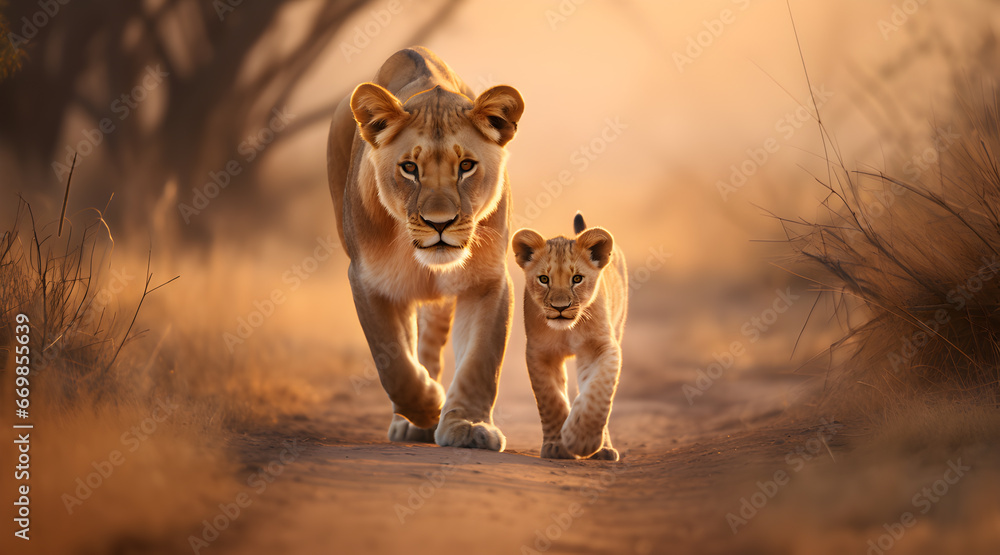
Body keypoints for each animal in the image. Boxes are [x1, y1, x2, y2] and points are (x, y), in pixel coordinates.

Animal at [326, 47, 524, 451]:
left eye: (466, 166)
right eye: (409, 168)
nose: (439, 223)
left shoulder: (487, 282)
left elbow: (481, 360)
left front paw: (468, 425)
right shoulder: (368, 281)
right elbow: (393, 364)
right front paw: (430, 405)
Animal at [512, 213, 628, 461]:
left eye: (577, 279)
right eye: (544, 279)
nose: (560, 307)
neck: (568, 330)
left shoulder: (603, 347)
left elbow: (599, 391)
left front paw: (581, 441)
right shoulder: (539, 352)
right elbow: (550, 399)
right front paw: (557, 446)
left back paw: (604, 448)